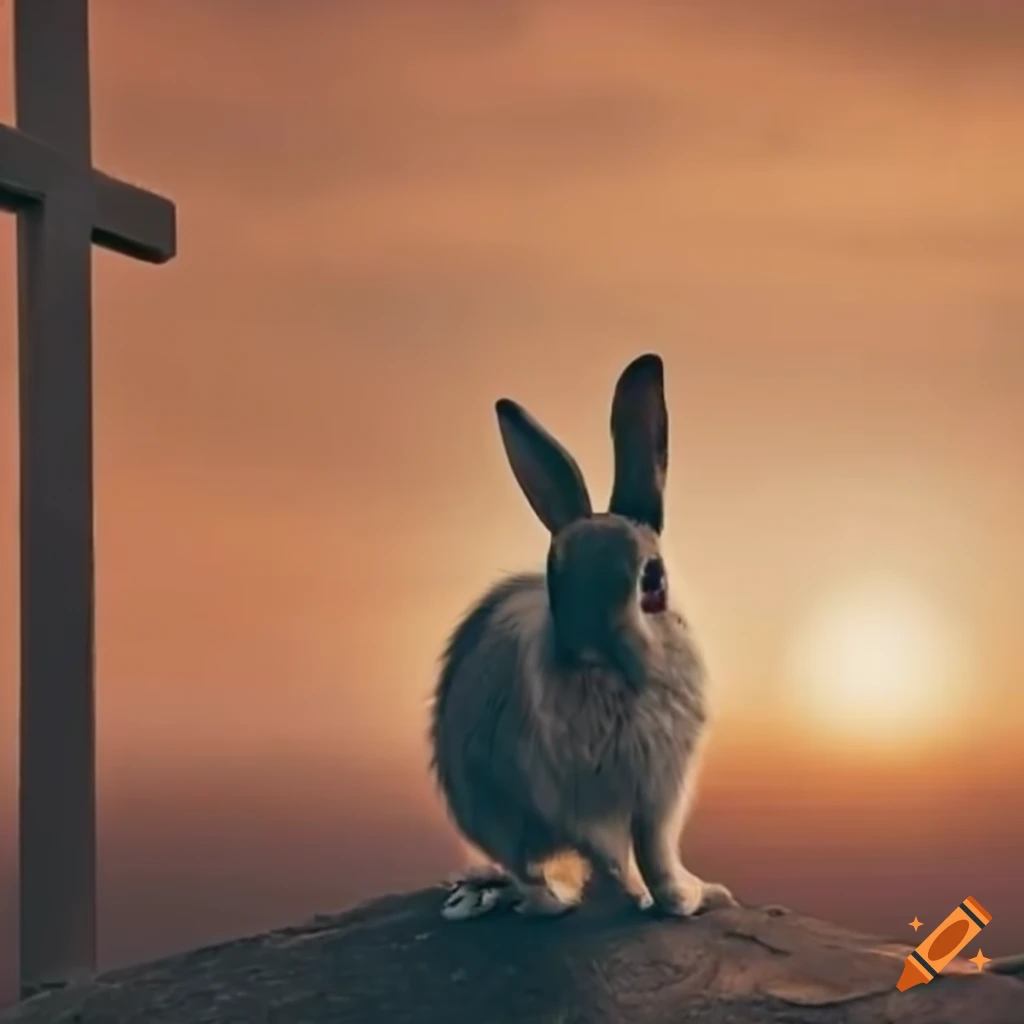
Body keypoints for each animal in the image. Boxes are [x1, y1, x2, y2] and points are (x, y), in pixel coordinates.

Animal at [430, 353, 735, 920]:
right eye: (556, 578)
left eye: (652, 582)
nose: (588, 649)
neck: (616, 683)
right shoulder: (606, 797)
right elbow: (632, 857)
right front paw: (682, 898)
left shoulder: (654, 793)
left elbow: (648, 853)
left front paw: (679, 896)